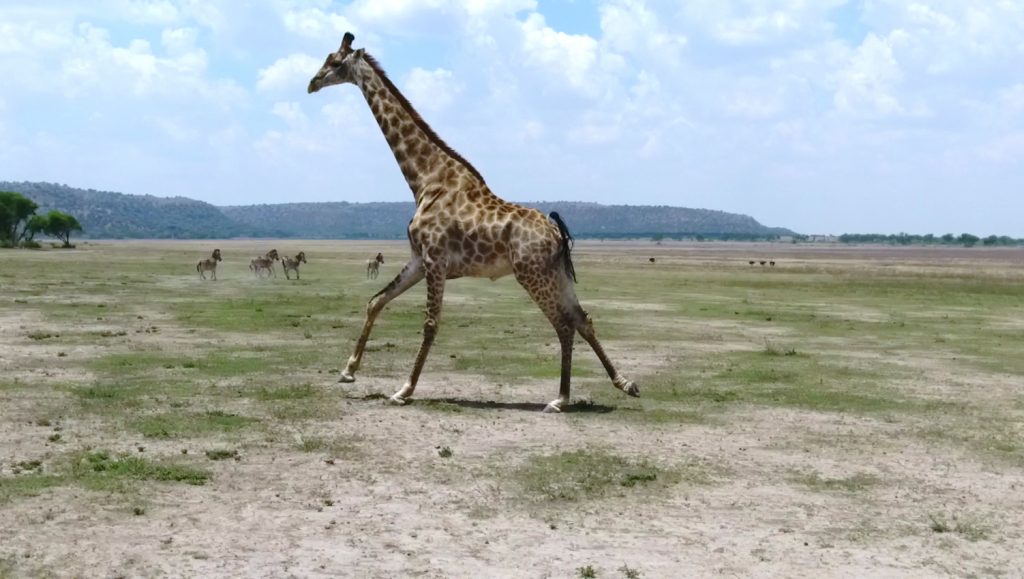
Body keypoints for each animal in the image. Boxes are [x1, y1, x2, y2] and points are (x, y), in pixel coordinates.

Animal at [307, 33, 639, 412]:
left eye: (334, 62)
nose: (312, 83)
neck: (424, 179)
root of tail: (557, 232)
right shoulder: (419, 260)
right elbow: (375, 301)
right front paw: (348, 370)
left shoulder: (435, 261)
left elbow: (430, 324)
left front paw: (404, 390)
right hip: (556, 273)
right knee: (583, 318)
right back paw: (624, 383)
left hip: (532, 275)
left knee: (563, 324)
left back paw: (560, 398)